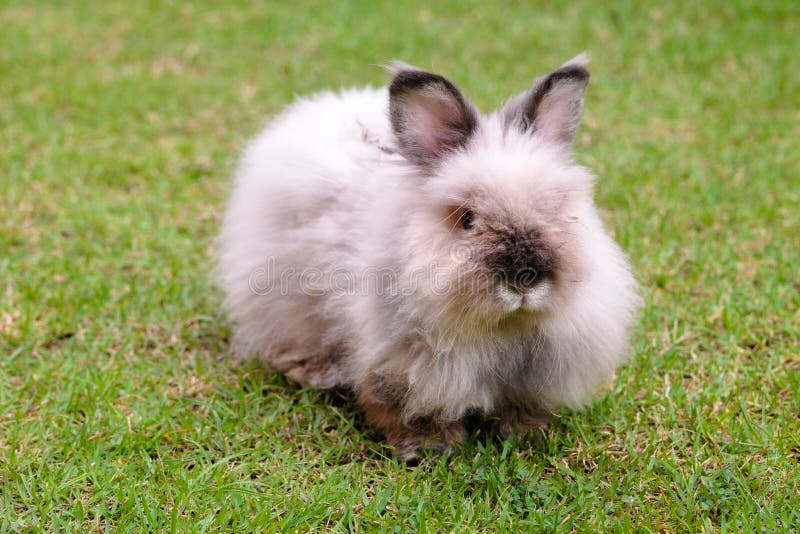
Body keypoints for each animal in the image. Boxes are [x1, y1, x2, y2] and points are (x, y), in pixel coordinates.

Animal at [218, 53, 640, 459]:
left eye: (554, 210)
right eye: (467, 219)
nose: (525, 277)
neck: (500, 329)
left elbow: (522, 407)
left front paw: (526, 435)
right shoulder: (400, 366)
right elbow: (409, 410)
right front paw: (429, 449)